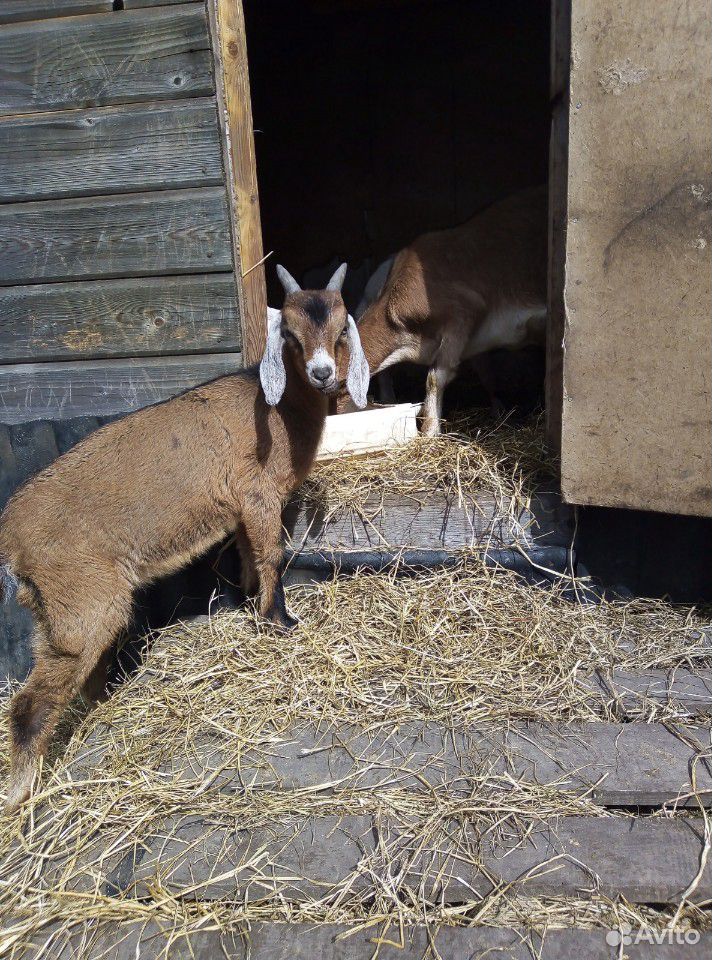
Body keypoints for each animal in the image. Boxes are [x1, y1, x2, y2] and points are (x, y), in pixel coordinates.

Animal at [0, 264, 368, 814]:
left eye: (342, 328)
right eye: (289, 333)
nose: (323, 373)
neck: (276, 409)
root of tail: (11, 535)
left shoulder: (239, 508)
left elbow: (247, 556)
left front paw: (250, 606)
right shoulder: (257, 493)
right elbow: (271, 554)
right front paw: (280, 621)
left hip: (54, 605)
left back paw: (101, 704)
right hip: (84, 595)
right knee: (30, 702)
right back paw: (22, 798)